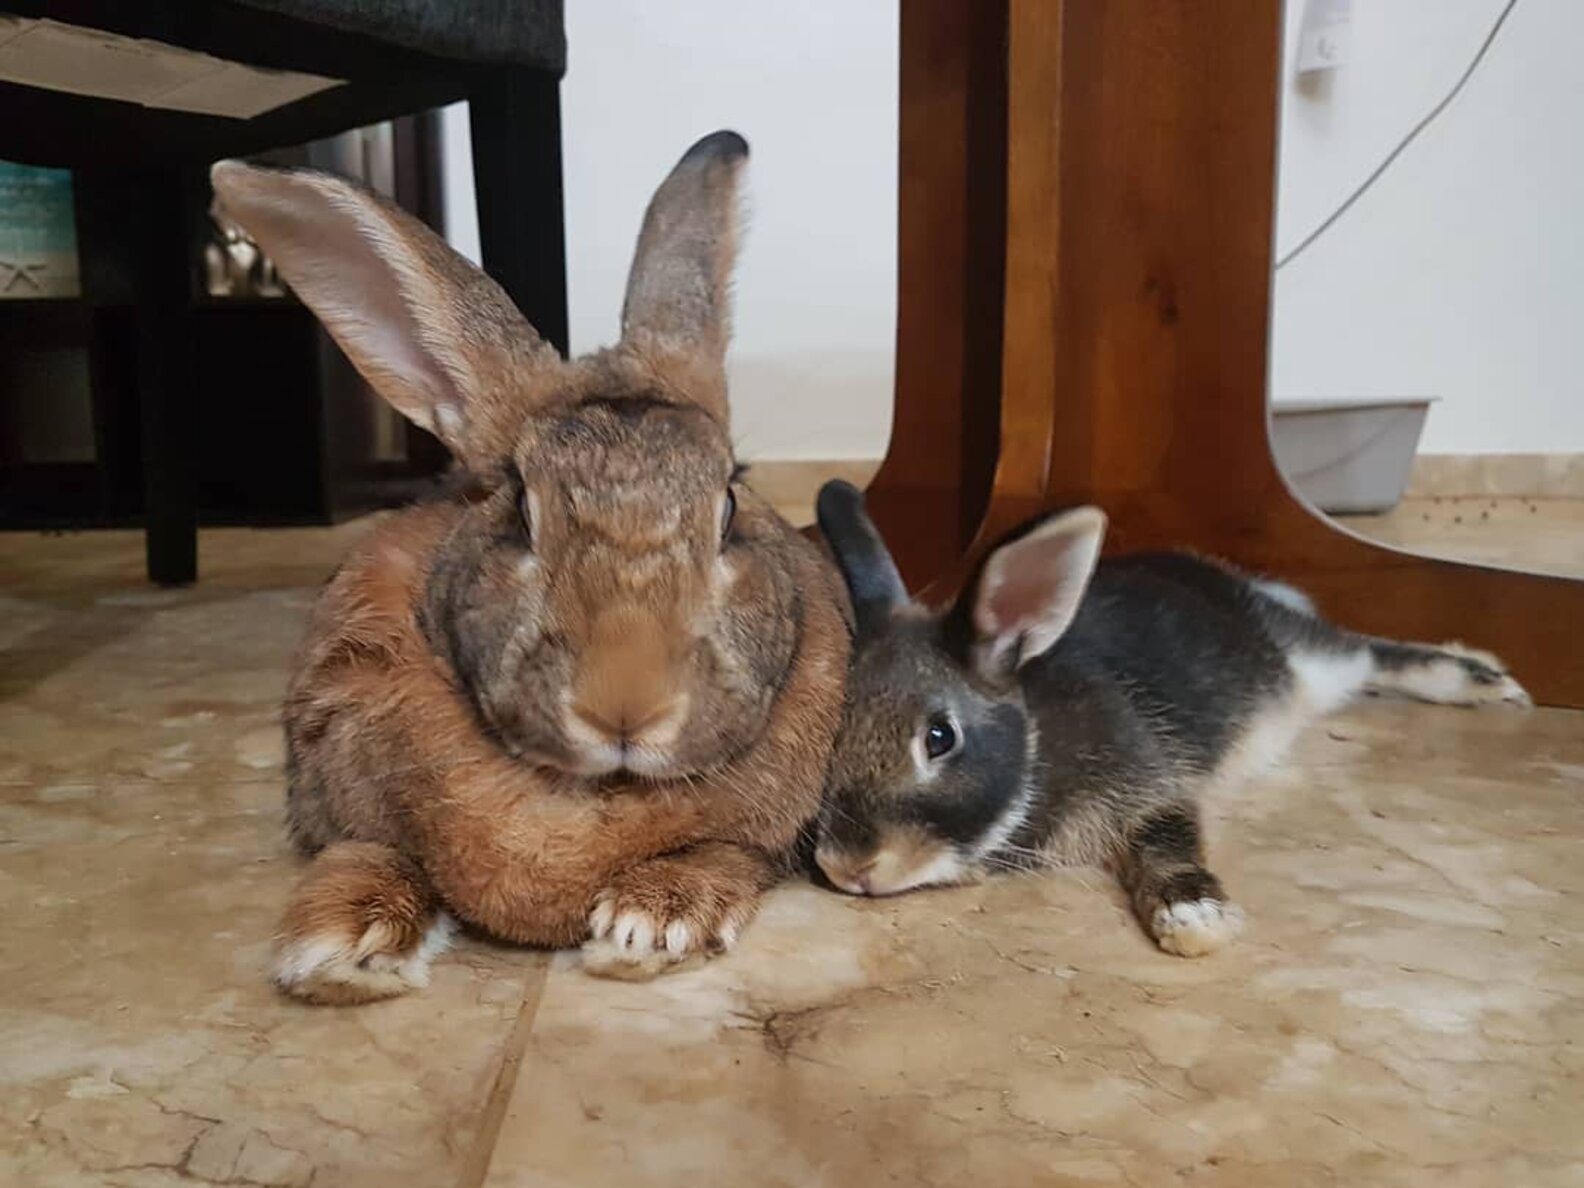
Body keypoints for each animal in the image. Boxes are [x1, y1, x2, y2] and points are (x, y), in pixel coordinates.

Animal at [210, 131, 851, 1003]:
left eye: (728, 504)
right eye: (520, 509)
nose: (626, 706)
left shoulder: (767, 837)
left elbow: (725, 854)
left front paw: (651, 924)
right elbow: (367, 849)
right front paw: (342, 948)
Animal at [811, 480, 1530, 957]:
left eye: (940, 737)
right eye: (829, 731)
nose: (849, 867)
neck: (1036, 753)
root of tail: (1228, 581)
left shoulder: (1152, 785)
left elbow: (1168, 840)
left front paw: (1197, 921)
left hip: (1307, 662)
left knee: (1371, 651)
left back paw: (1483, 681)